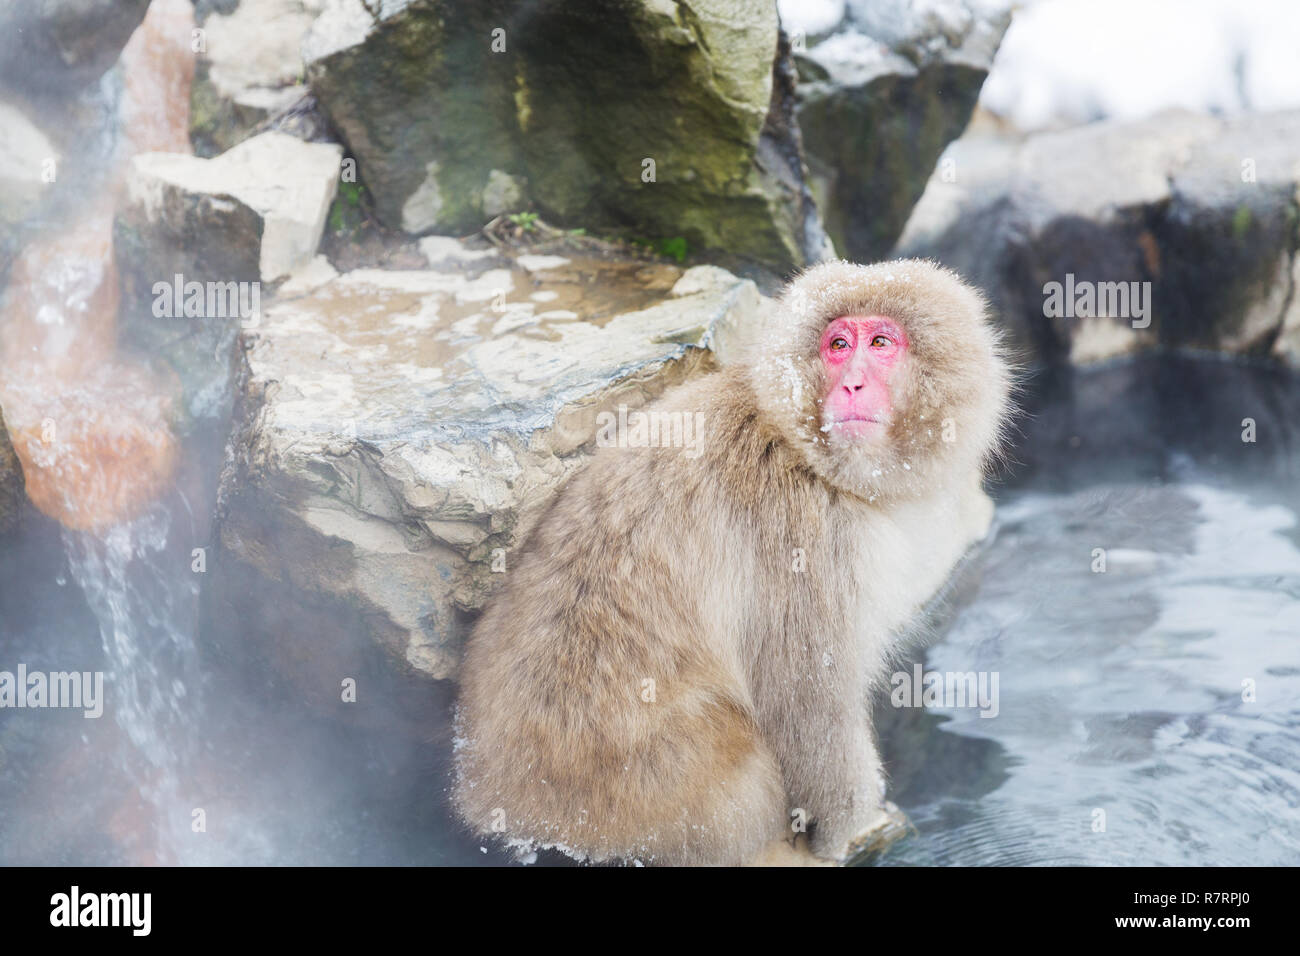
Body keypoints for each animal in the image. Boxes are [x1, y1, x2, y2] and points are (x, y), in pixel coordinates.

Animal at [451, 258, 1013, 865]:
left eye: (881, 343)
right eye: (839, 345)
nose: (852, 384)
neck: (802, 446)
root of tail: (493, 802)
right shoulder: (810, 536)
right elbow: (810, 705)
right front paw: (846, 829)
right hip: (646, 800)